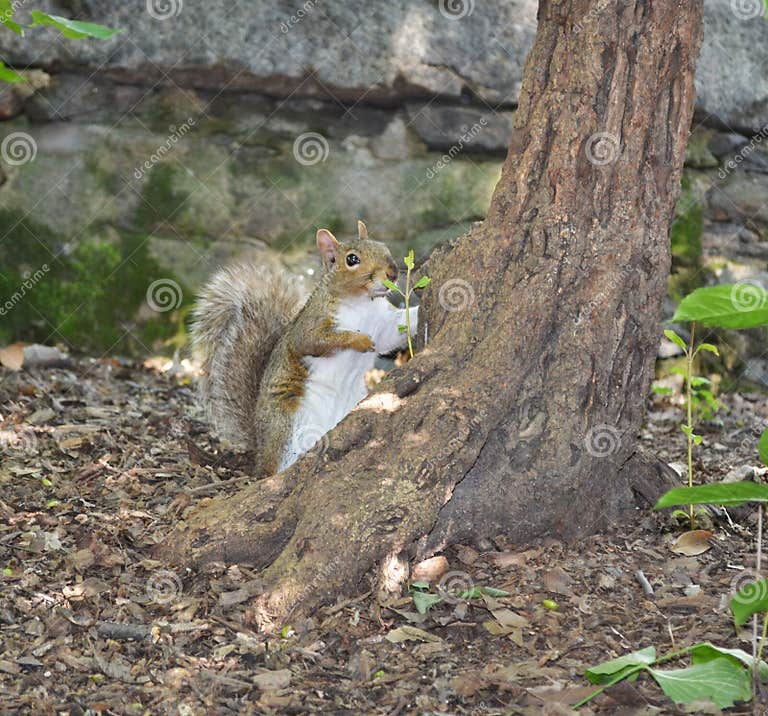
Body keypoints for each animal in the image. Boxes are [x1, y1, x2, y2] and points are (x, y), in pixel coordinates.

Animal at [191, 221, 418, 476]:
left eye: (384, 247)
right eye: (352, 259)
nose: (393, 273)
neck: (362, 304)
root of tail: (260, 447)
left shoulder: (383, 324)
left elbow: (395, 331)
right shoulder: (311, 326)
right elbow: (315, 341)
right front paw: (358, 340)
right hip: (287, 423)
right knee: (276, 467)